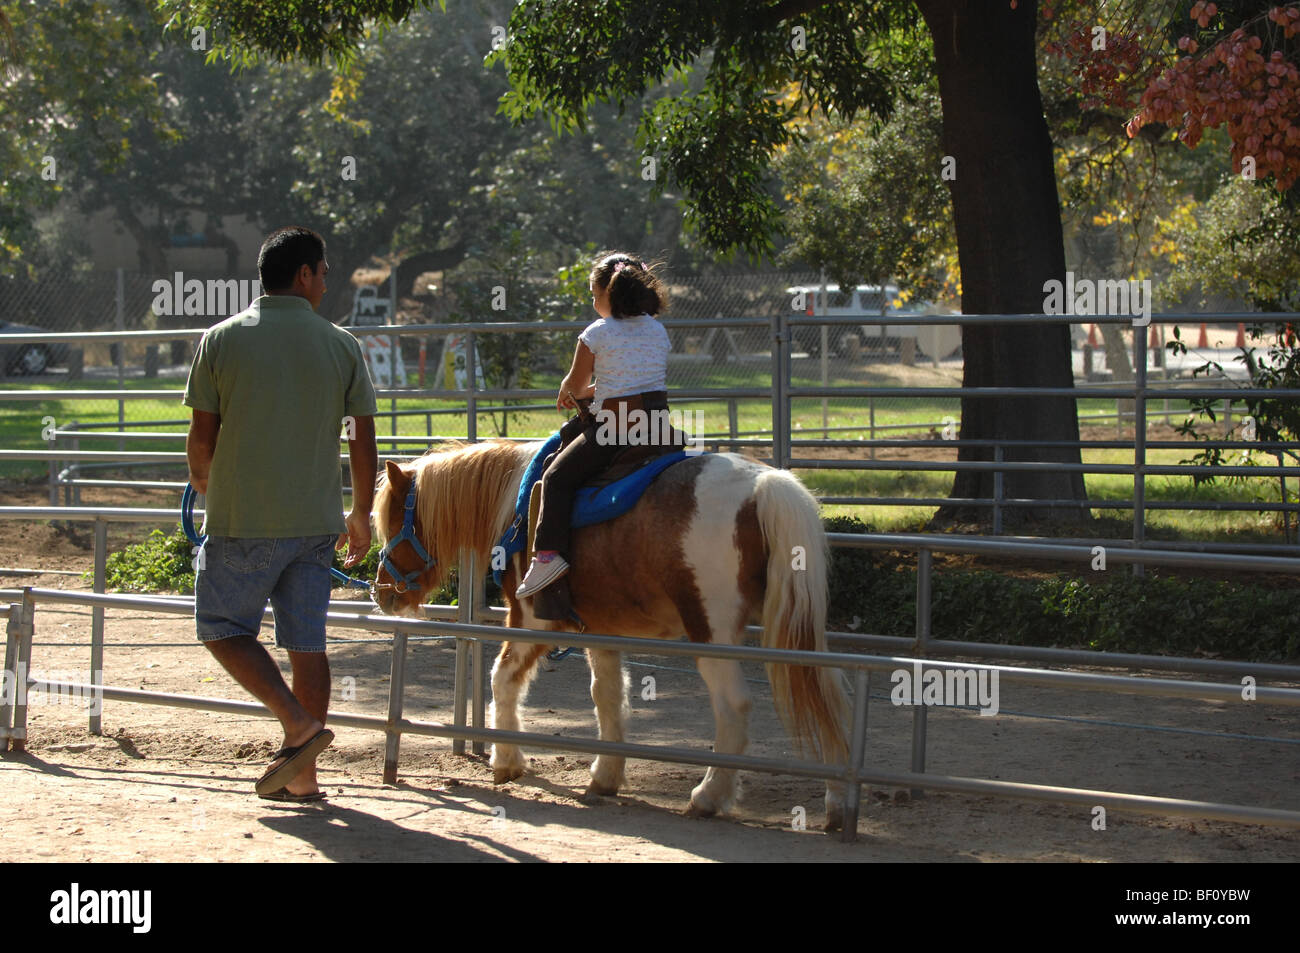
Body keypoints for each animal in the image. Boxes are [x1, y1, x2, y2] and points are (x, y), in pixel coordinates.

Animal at [371, 439, 852, 829]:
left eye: (393, 522)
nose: (382, 592)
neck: (518, 505)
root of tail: (764, 484)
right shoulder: (603, 630)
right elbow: (606, 695)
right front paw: (605, 776)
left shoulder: (530, 619)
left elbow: (502, 678)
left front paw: (506, 761)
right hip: (798, 627)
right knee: (827, 696)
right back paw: (837, 802)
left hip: (713, 632)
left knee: (734, 705)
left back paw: (708, 796)